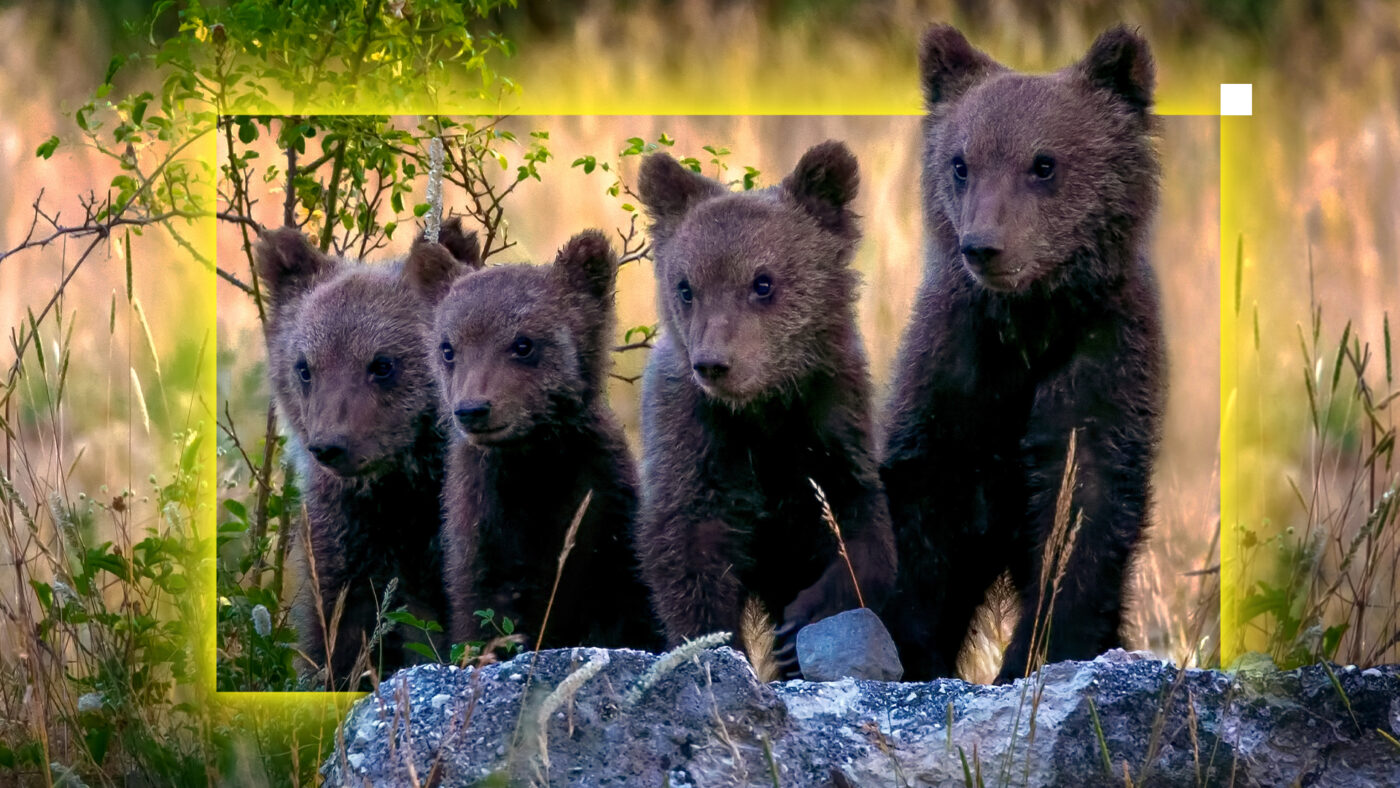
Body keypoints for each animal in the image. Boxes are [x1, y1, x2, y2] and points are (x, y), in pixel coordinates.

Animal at [410, 230, 660, 651]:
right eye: (448, 348)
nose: (473, 409)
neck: (535, 466)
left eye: (523, 343)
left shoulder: (605, 512)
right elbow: (485, 614)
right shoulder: (486, 528)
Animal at [635, 140, 897, 677]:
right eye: (686, 286)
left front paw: (798, 625)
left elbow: (862, 533)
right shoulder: (696, 442)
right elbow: (687, 551)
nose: (714, 363)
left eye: (763, 282)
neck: (763, 409)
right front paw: (717, 646)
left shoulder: (832, 423)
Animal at [879, 24, 1166, 683]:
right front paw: (912, 650)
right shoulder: (956, 368)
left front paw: (1036, 655)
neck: (1028, 324)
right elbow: (928, 520)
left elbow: (1080, 513)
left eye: (1044, 163)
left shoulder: (1101, 361)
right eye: (961, 163)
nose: (984, 246)